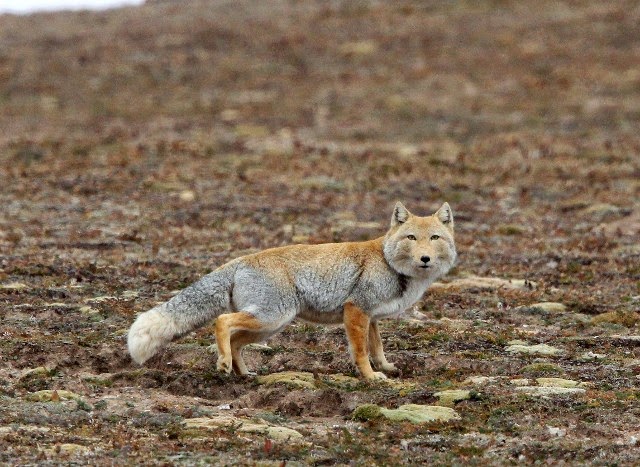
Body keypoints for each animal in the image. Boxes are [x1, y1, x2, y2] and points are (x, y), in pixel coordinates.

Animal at [127, 202, 456, 379]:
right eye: (411, 238)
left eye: (434, 238)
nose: (425, 259)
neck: (390, 263)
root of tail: (240, 259)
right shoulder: (356, 310)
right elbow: (362, 352)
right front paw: (372, 377)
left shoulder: (371, 317)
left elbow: (377, 347)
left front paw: (386, 368)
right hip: (272, 317)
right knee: (222, 322)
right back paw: (224, 364)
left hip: (269, 326)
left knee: (235, 341)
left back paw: (243, 373)